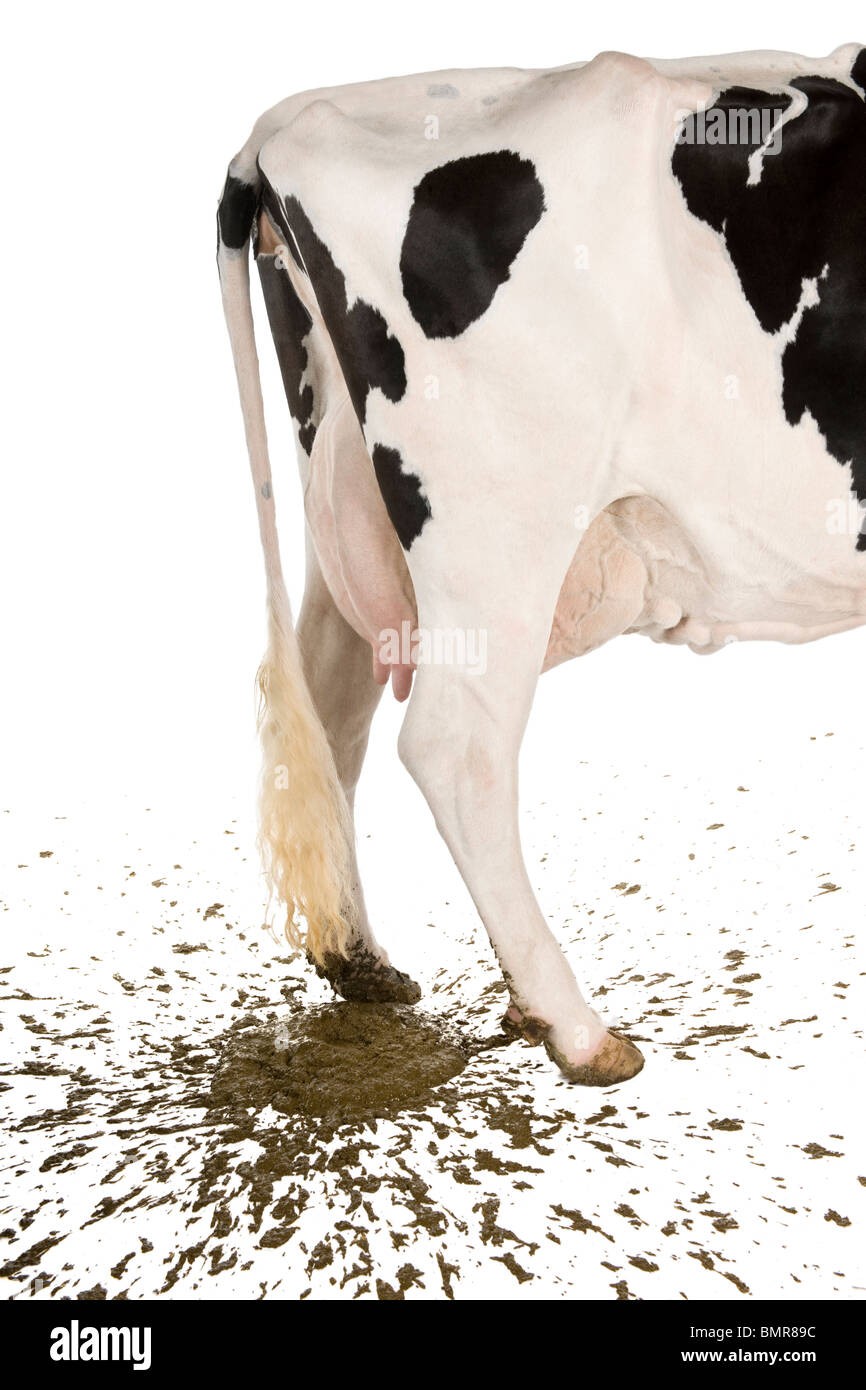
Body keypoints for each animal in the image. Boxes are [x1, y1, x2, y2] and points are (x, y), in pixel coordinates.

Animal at [217, 44, 866, 1087]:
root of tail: (280, 125)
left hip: (347, 498)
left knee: (331, 709)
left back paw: (361, 962)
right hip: (497, 530)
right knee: (455, 746)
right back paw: (577, 1028)